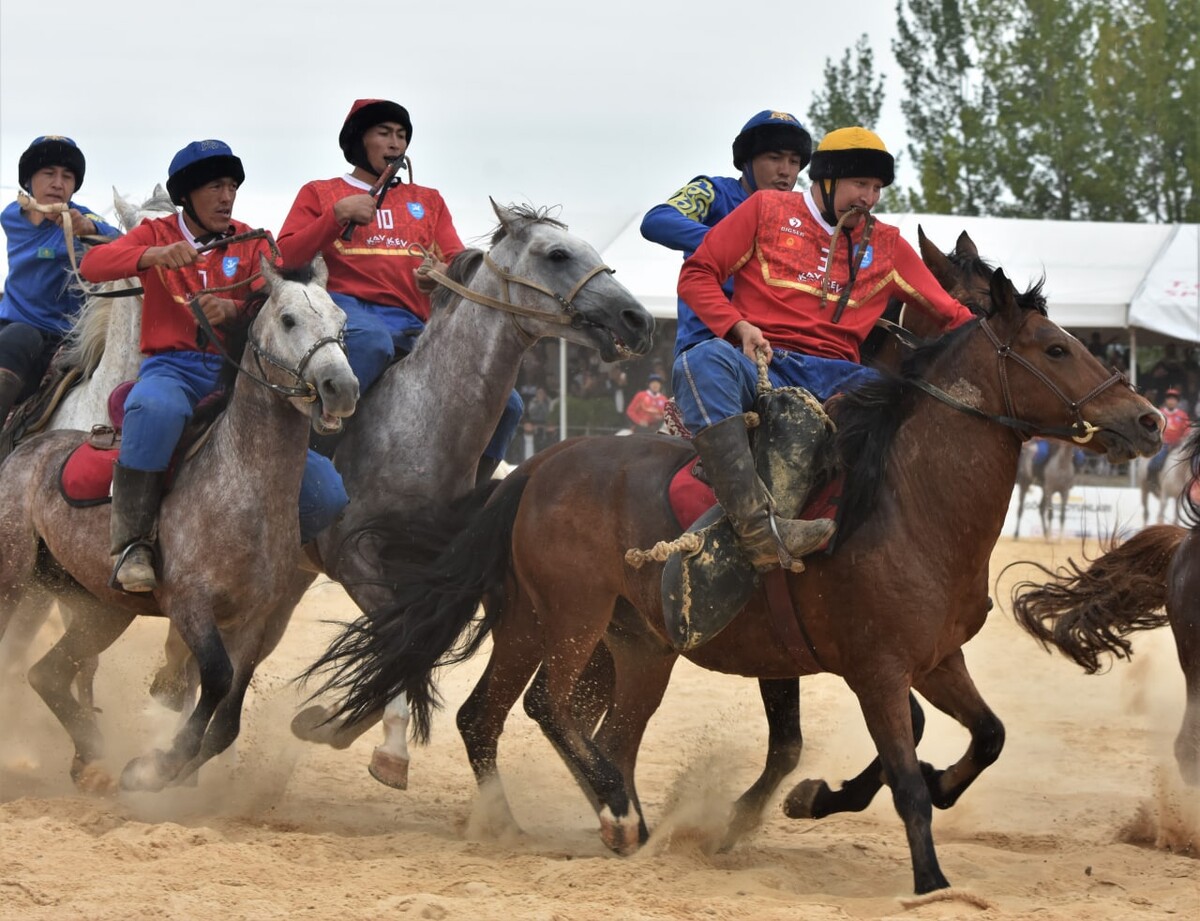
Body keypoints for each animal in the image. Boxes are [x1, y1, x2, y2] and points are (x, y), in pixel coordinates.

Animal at [0, 254, 357, 791]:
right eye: (289, 319)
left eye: (342, 322)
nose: (342, 388)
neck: (241, 485)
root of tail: (25, 450)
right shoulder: (189, 605)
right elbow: (216, 678)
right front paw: (158, 766)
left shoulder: (253, 620)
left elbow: (226, 720)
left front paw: (160, 768)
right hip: (14, 580)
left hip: (100, 606)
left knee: (49, 672)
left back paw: (93, 757)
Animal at [285, 199, 652, 786]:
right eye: (557, 254)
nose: (638, 321)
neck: (420, 423)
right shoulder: (353, 557)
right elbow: (402, 639)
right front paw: (387, 746)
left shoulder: (441, 569)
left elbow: (412, 644)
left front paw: (339, 725)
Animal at [304, 233, 1156, 897]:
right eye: (1057, 348)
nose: (1147, 419)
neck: (906, 502)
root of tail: (539, 466)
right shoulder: (878, 669)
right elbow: (906, 775)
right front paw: (931, 880)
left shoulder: (935, 659)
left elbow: (984, 738)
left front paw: (827, 797)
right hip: (568, 616)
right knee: (545, 706)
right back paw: (610, 816)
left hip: (609, 640)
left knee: (526, 722)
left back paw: (601, 820)